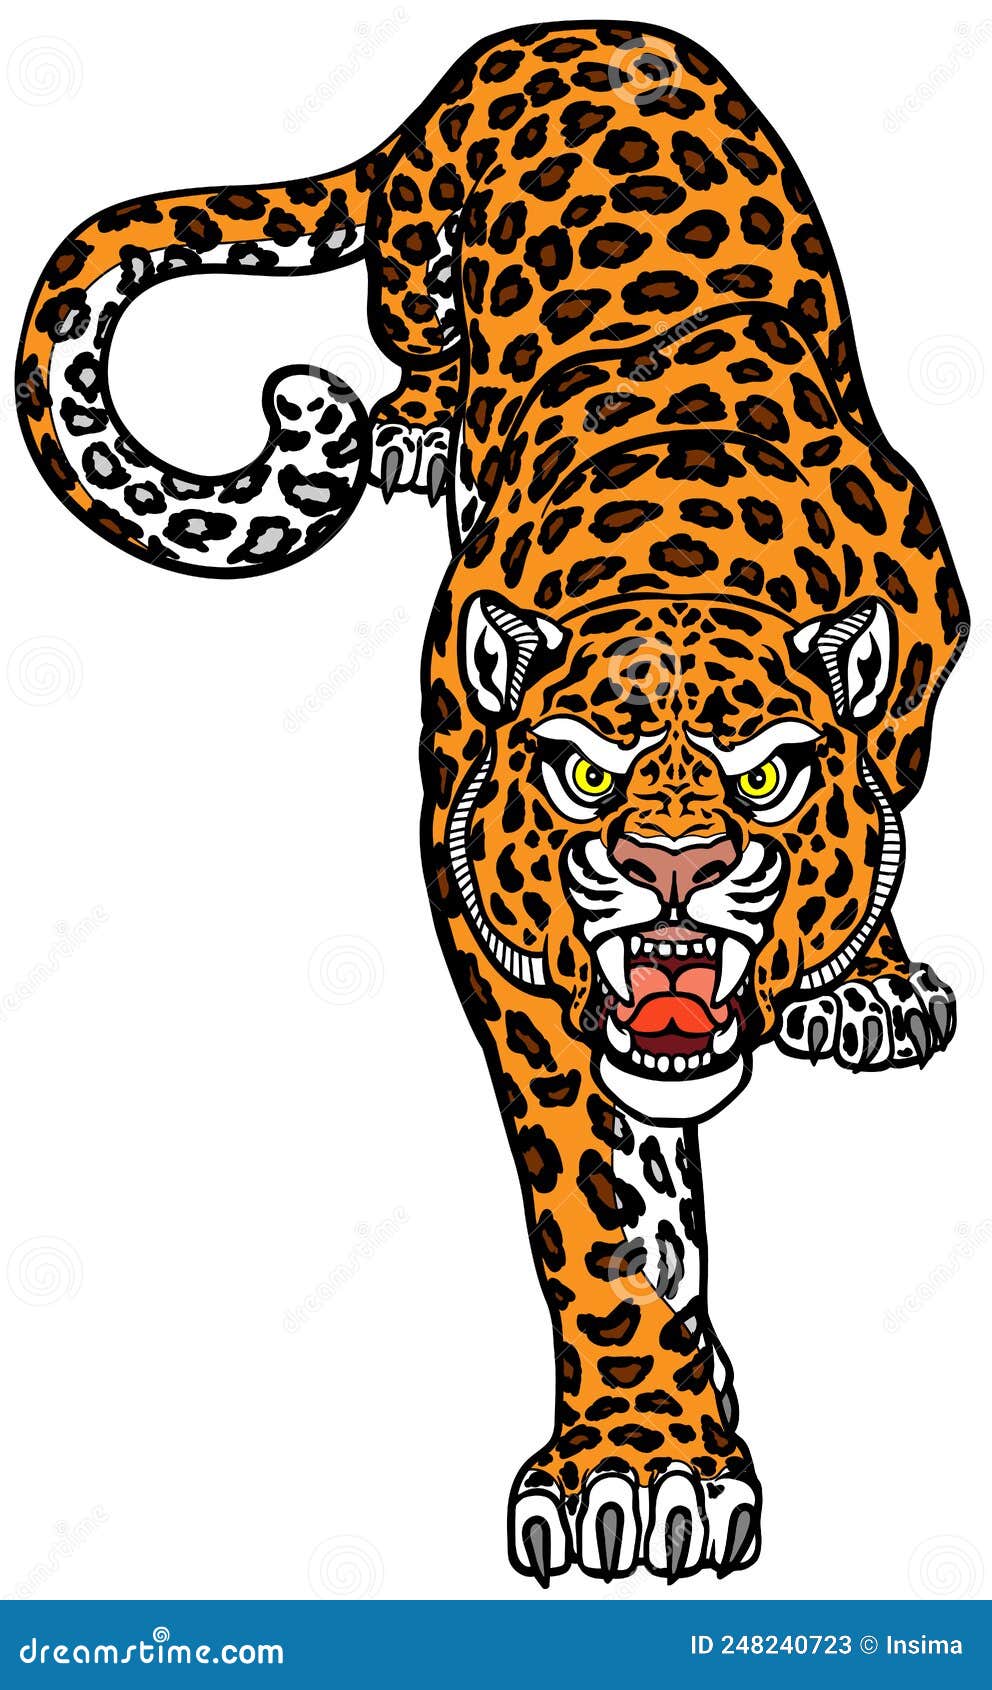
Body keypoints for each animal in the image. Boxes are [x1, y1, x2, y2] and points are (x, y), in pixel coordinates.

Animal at [17, 21, 967, 1584]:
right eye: (581, 768)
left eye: (767, 772)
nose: (671, 867)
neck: (683, 551)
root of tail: (548, 29)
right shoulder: (486, 908)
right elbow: (604, 1206)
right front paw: (644, 1463)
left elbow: (887, 810)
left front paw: (861, 976)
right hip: (412, 258)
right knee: (420, 336)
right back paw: (410, 428)